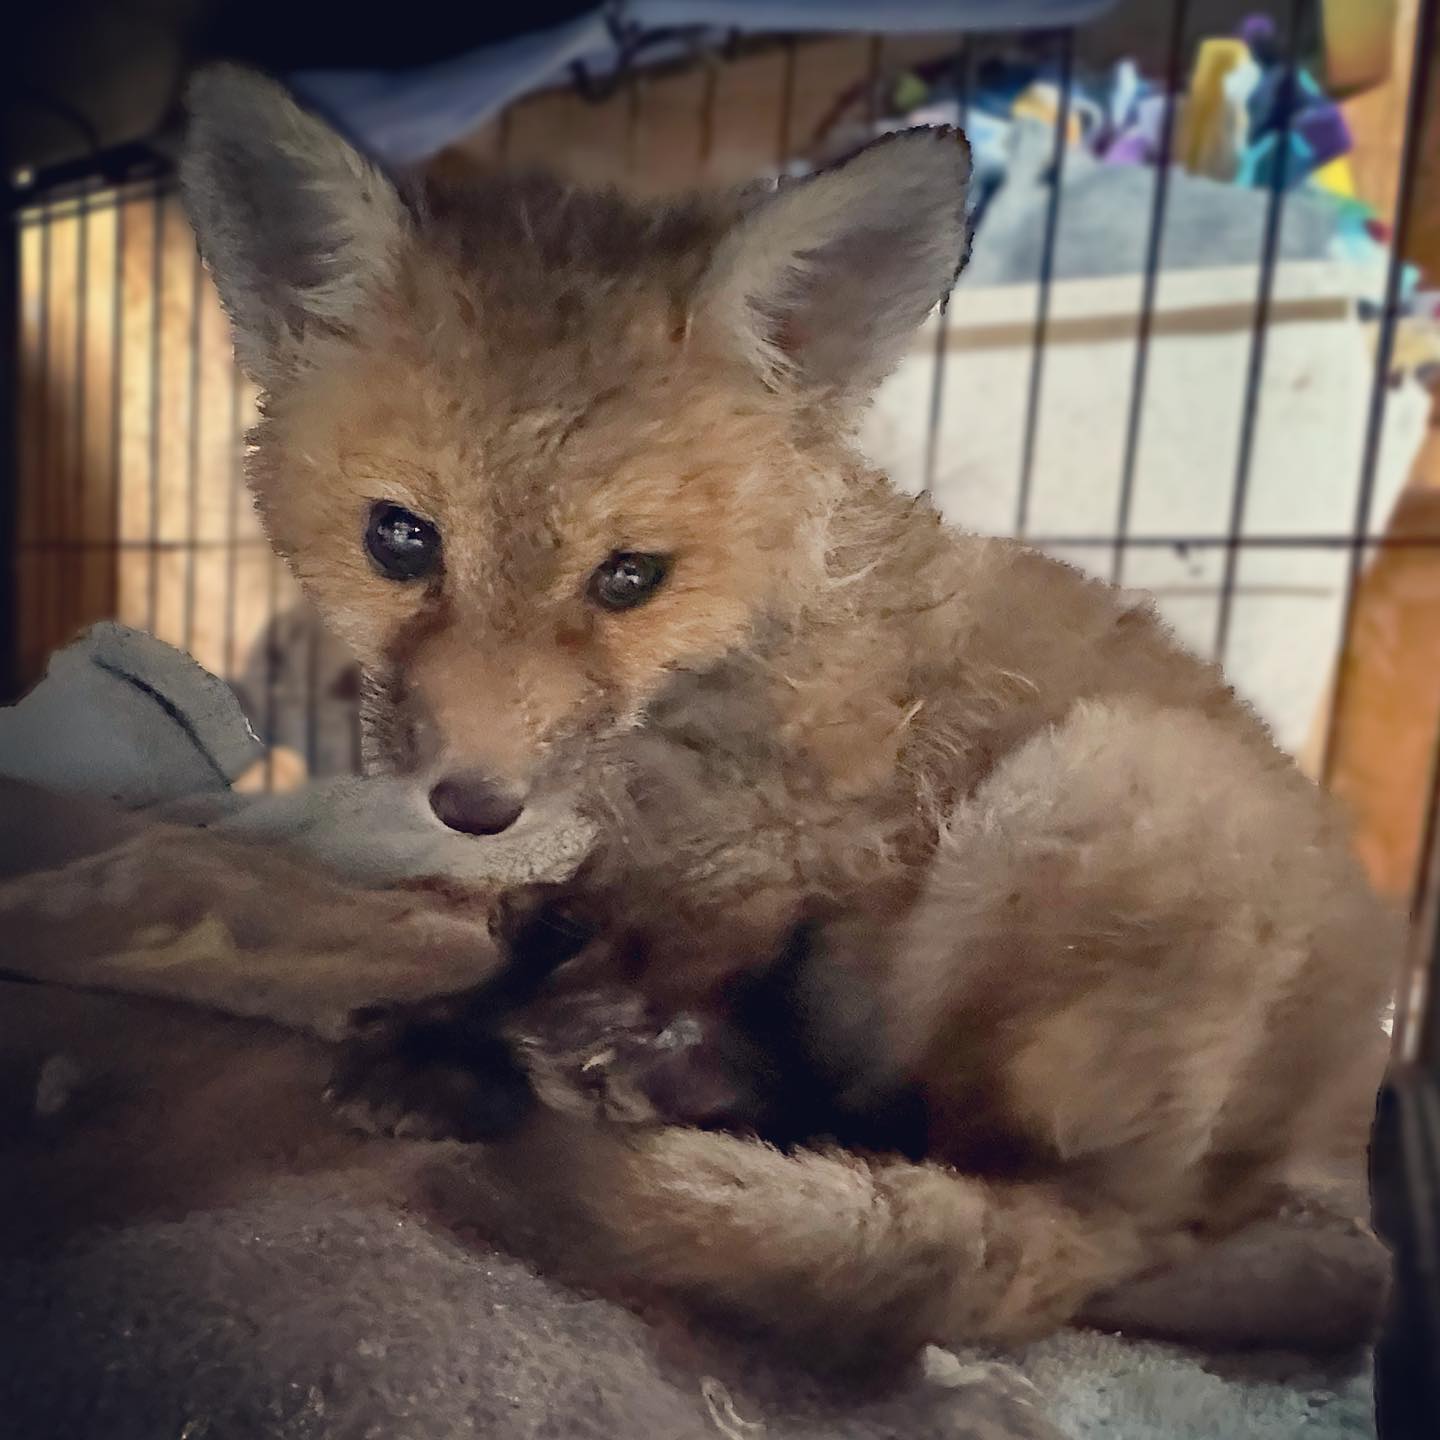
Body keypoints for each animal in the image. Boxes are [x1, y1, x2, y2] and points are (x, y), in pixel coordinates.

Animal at [179, 66, 1399, 1368]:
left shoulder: (792, 849)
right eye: (401, 540)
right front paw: (476, 1010)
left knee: (988, 1193)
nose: (473, 803)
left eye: (630, 577)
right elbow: (560, 933)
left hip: (1085, 796)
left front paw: (480, 1046)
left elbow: (647, 959)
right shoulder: (638, 855)